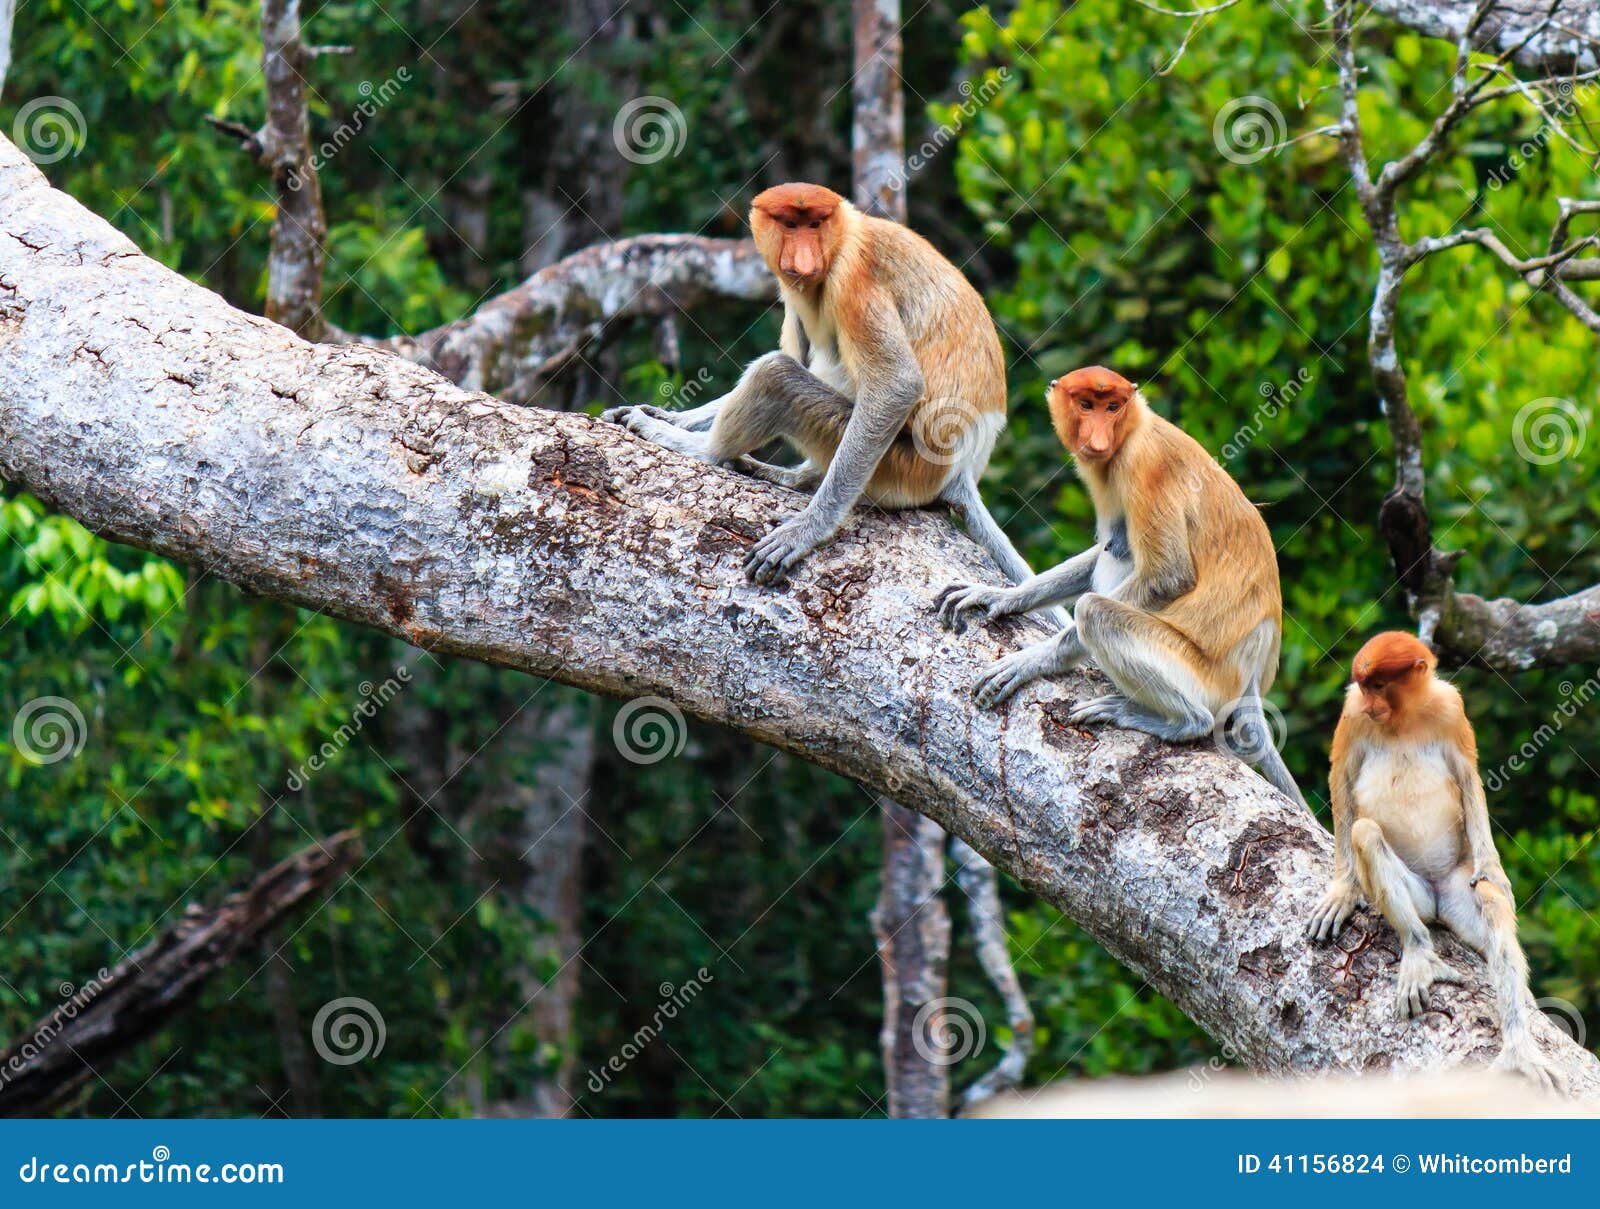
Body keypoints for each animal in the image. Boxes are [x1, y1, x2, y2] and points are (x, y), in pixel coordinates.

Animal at [602, 182, 1056, 601]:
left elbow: (897, 385)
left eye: (815, 225)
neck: (842, 238)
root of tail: (961, 469)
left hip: (903, 466)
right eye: (790, 224)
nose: (804, 260)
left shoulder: (851, 279)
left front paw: (805, 531)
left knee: (776, 374)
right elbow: (799, 354)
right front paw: (667, 414)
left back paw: (703, 450)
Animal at [934, 366, 1306, 808]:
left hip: (1201, 674)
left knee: (1097, 611)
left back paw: (1181, 721)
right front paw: (1001, 596)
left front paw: (1035, 660)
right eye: (1086, 404)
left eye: (1113, 407)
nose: (1098, 438)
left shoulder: (1142, 465)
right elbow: (1104, 548)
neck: (1134, 429)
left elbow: (1168, 575)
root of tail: (1252, 673)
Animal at [1307, 631, 1564, 1092]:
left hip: (1457, 890)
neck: (1403, 716)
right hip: (1421, 900)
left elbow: (1468, 776)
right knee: (1365, 833)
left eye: (1379, 685)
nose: (1371, 705)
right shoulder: (1352, 715)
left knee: (1487, 898)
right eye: (1364, 687)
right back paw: (1419, 954)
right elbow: (1342, 776)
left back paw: (1519, 1047)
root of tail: (1438, 899)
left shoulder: (1450, 709)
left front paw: (1495, 871)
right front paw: (1342, 891)